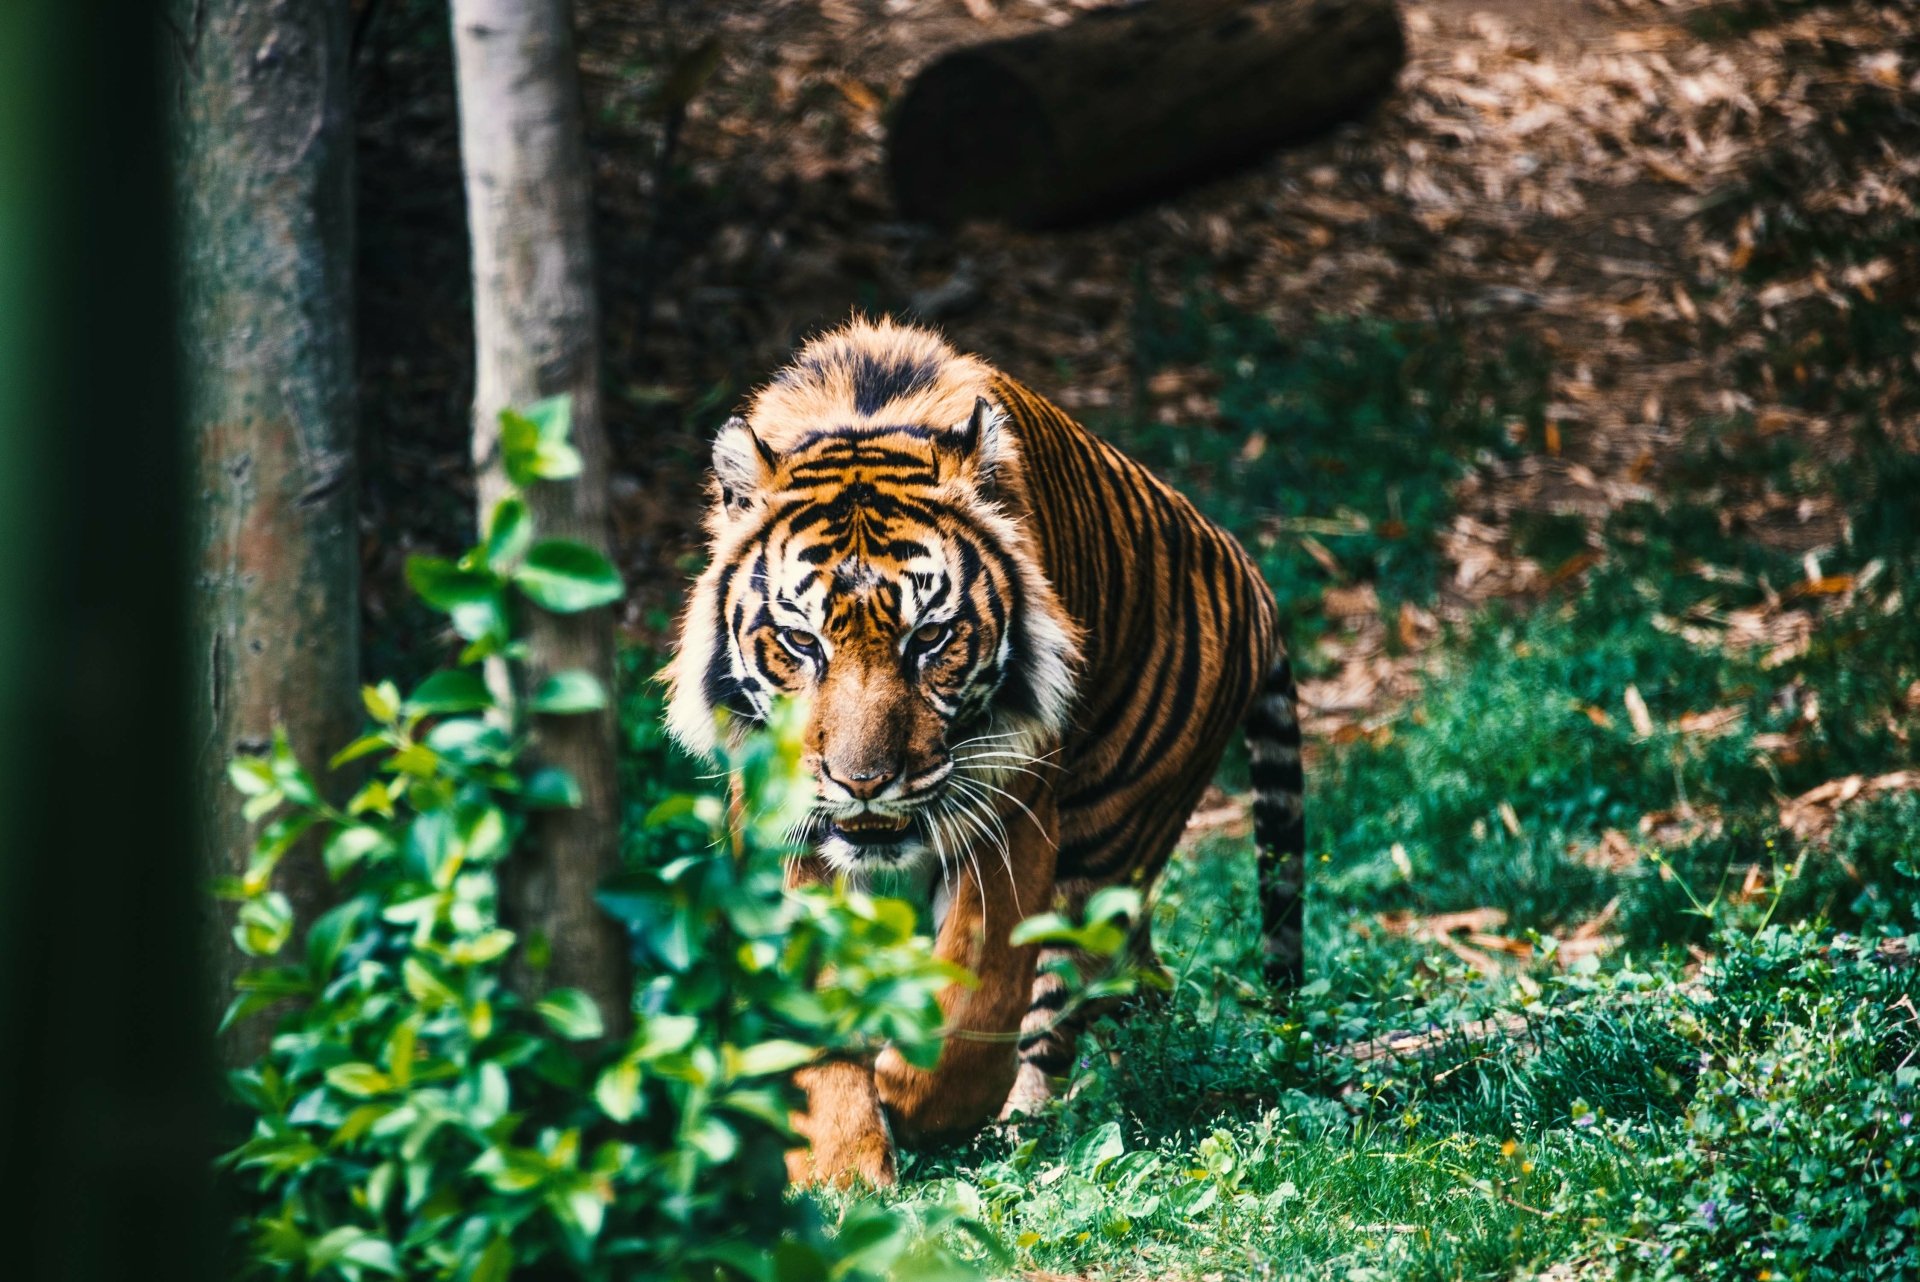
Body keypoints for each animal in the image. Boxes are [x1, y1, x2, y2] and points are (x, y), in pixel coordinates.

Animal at [665, 317, 1304, 1186]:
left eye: (929, 638)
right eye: (802, 642)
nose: (863, 783)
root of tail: (1250, 576)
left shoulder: (1012, 811)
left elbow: (981, 990)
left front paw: (913, 1101)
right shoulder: (785, 827)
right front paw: (841, 1174)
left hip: (1107, 842)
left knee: (1063, 997)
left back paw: (1029, 1124)